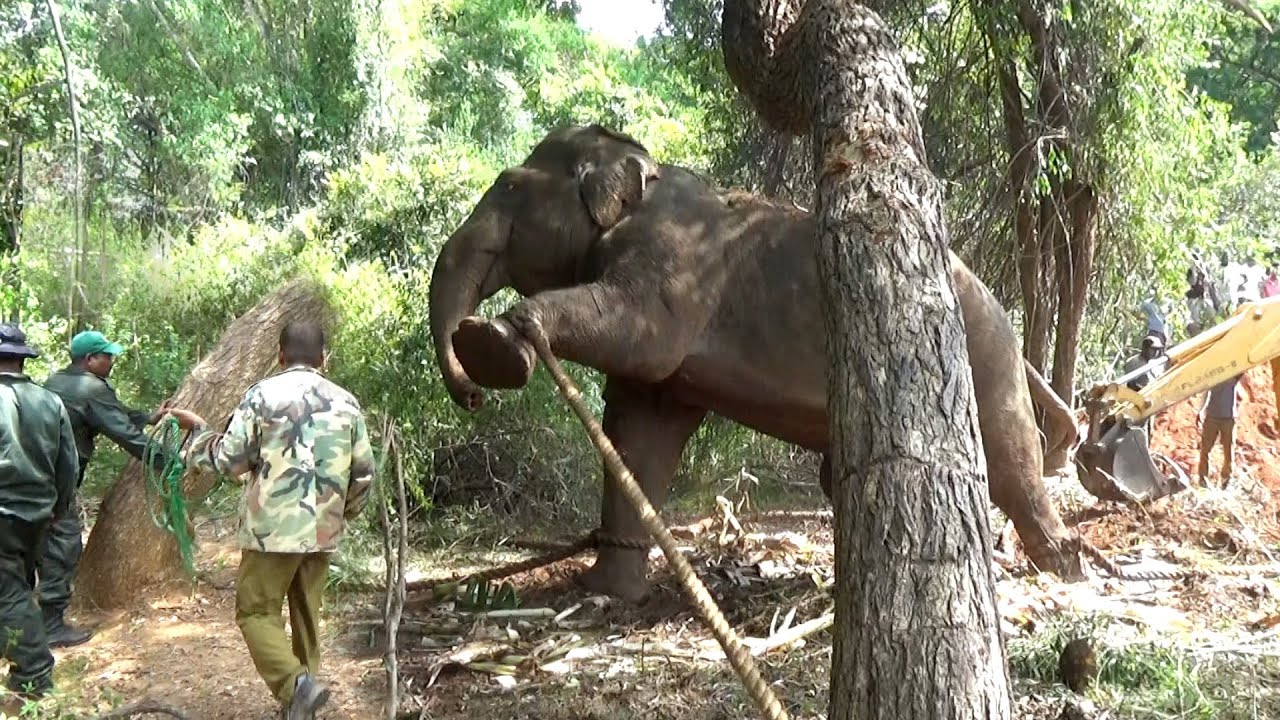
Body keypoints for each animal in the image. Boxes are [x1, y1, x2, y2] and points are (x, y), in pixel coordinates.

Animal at [429, 123, 1085, 602]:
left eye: (509, 187)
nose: (471, 396)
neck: (641, 170)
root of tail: (1012, 331)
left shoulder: (676, 264)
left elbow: (643, 339)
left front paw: (501, 339)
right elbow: (641, 425)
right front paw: (608, 593)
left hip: (985, 364)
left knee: (1012, 463)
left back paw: (1068, 567)